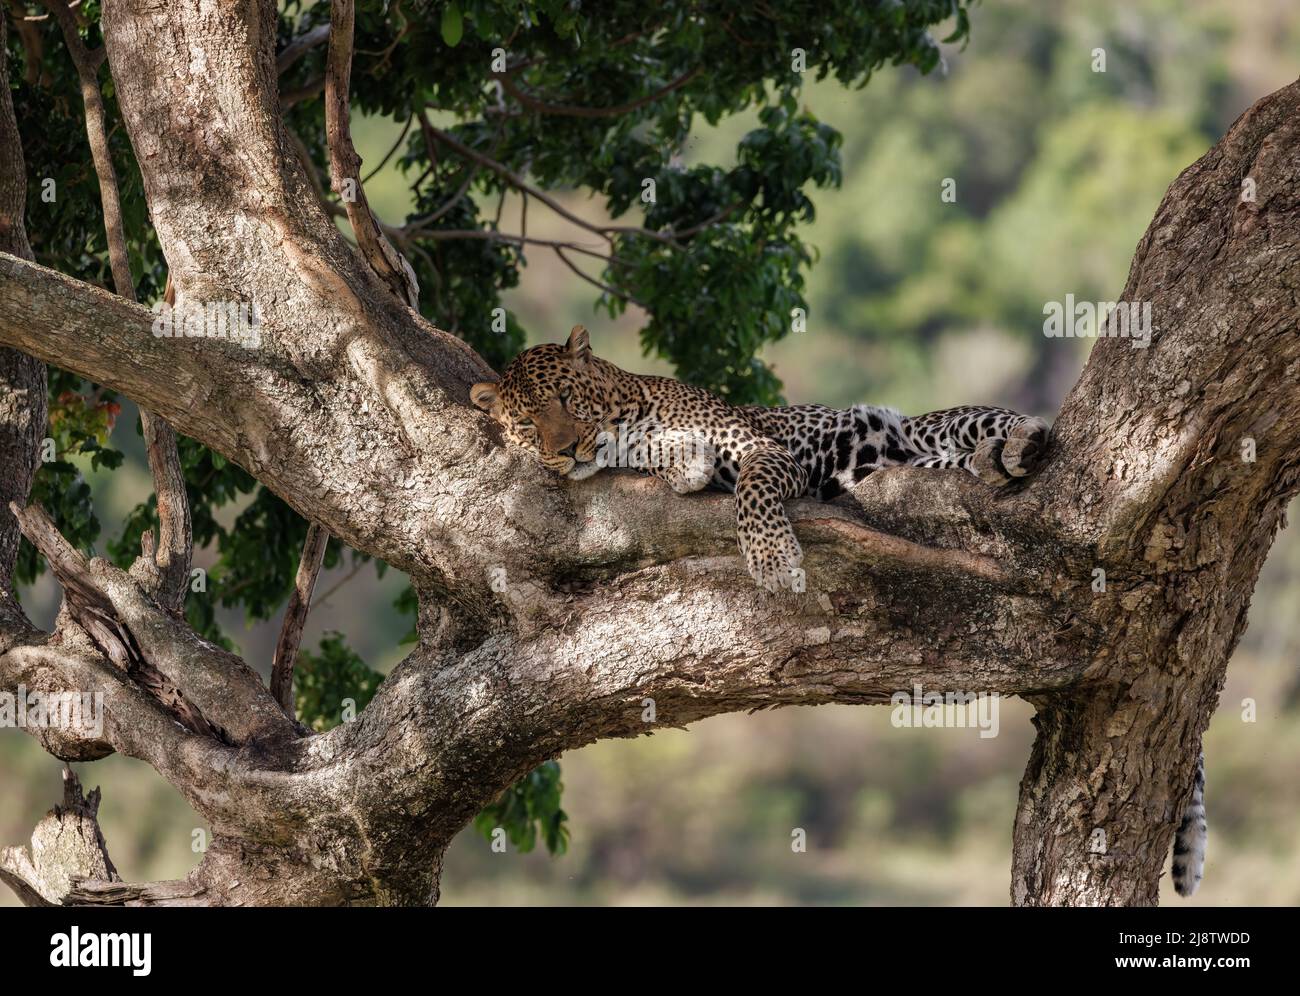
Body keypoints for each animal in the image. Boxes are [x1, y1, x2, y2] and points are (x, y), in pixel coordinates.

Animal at [471, 324, 1208, 898]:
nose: (564, 450)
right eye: (528, 423)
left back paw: (1015, 444)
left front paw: (771, 559)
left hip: (935, 422)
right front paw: (676, 462)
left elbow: (753, 490)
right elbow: (672, 462)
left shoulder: (759, 450)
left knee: (1003, 420)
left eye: (567, 401)